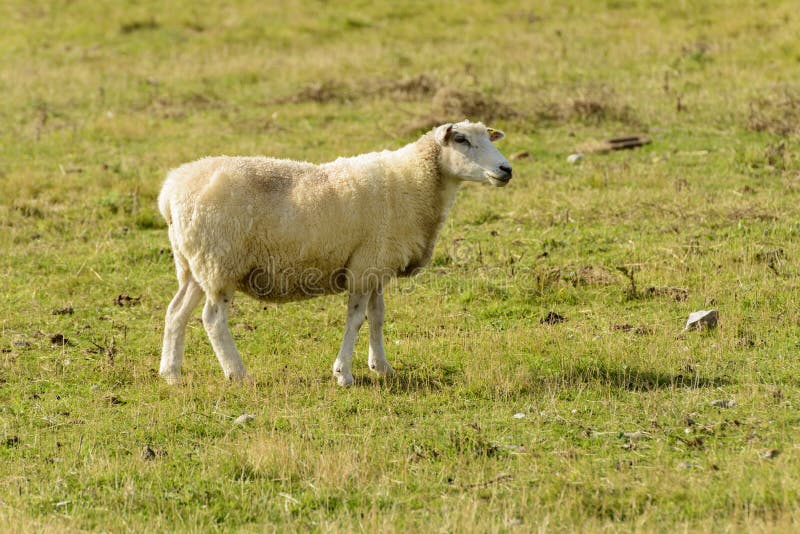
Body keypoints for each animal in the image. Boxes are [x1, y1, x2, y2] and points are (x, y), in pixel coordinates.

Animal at [157, 120, 513, 386]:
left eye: (487, 137)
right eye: (461, 139)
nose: (506, 169)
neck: (414, 183)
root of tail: (170, 190)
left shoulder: (377, 265)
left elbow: (377, 317)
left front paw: (382, 367)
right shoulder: (363, 266)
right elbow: (356, 318)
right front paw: (344, 373)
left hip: (193, 263)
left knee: (176, 312)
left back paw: (171, 373)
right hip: (219, 261)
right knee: (212, 319)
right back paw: (237, 373)